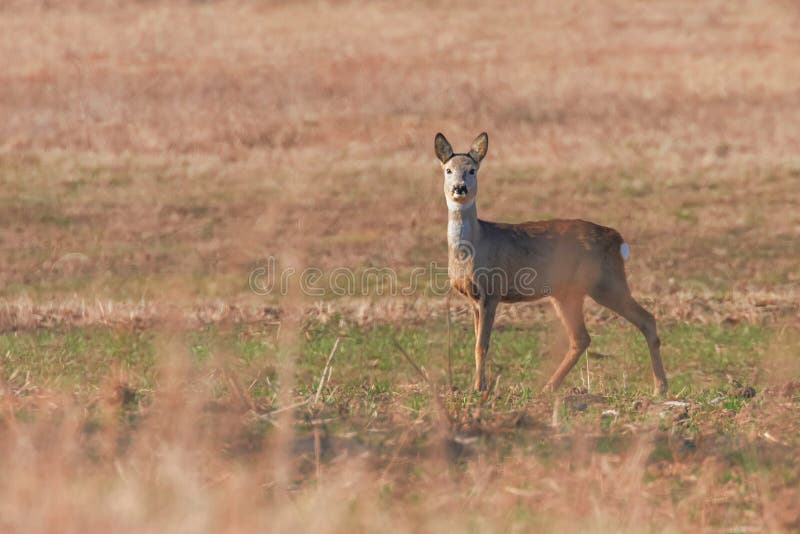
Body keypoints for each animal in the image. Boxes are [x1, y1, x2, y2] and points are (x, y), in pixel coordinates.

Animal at [435, 132, 668, 396]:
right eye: (448, 170)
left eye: (472, 170)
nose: (460, 188)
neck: (473, 245)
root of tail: (618, 239)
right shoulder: (474, 298)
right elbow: (477, 343)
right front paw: (476, 386)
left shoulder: (491, 291)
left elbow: (481, 345)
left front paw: (479, 389)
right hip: (567, 292)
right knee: (582, 337)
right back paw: (550, 386)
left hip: (605, 281)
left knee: (646, 319)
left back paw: (660, 387)